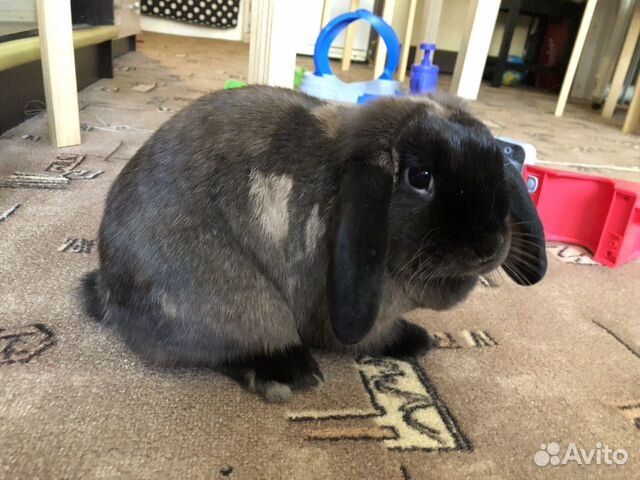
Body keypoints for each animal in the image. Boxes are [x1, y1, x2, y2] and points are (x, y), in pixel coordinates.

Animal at [83, 85, 547, 403]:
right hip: (242, 303)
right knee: (223, 349)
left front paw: (418, 339)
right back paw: (289, 374)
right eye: (420, 177)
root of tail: (107, 288)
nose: (490, 245)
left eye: (497, 166)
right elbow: (361, 339)